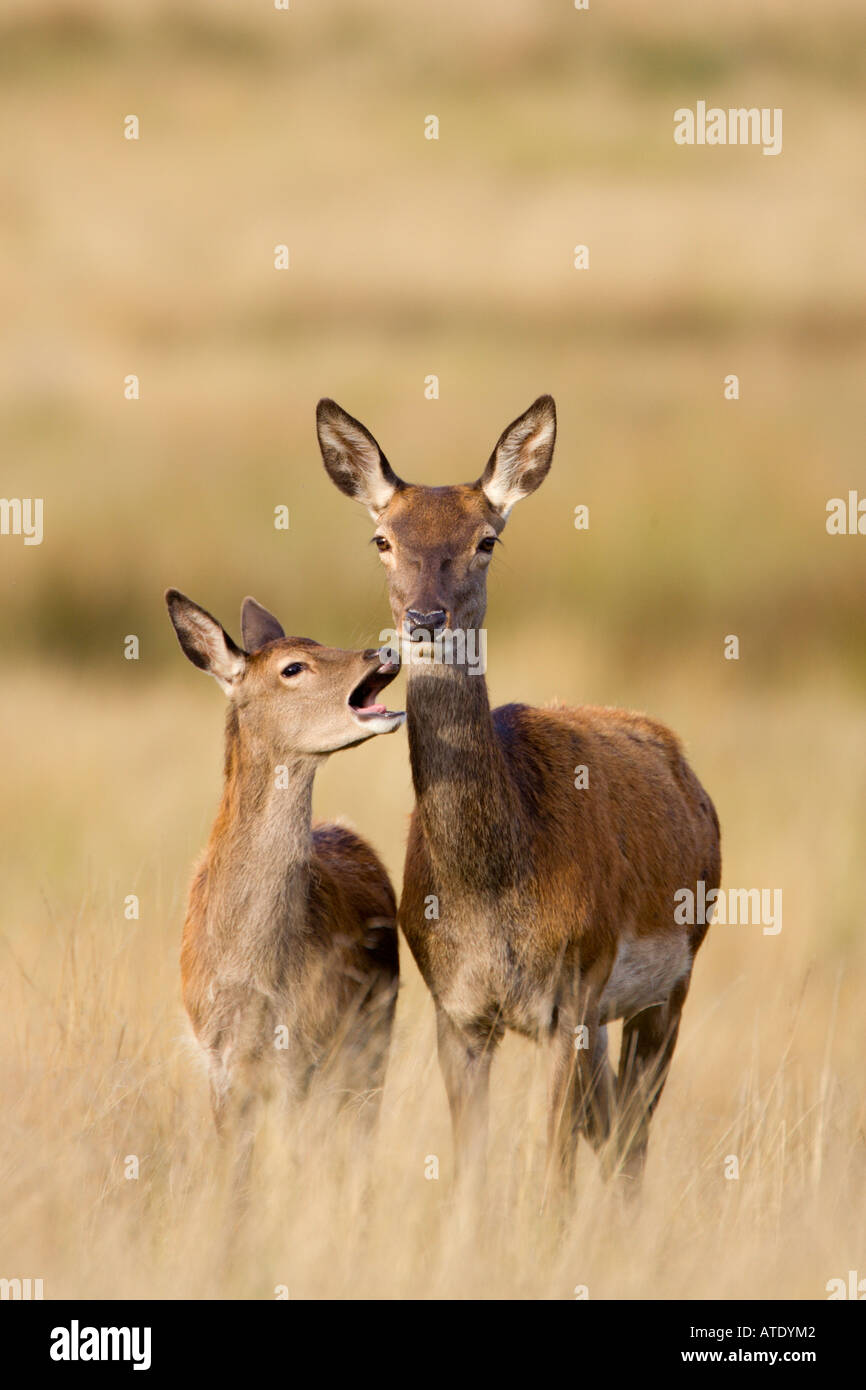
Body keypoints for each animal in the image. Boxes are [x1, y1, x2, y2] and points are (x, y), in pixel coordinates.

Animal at [165, 589, 404, 1162]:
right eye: (292, 667)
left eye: (317, 639)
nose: (384, 652)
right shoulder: (220, 1059)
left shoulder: (311, 1046)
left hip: (372, 1037)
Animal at [316, 395, 722, 1195]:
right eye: (382, 538)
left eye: (486, 540)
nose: (425, 619)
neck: (494, 889)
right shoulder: (456, 1010)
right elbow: (473, 1167)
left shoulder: (569, 996)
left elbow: (554, 1175)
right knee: (613, 1129)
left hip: (672, 984)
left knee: (633, 1139)